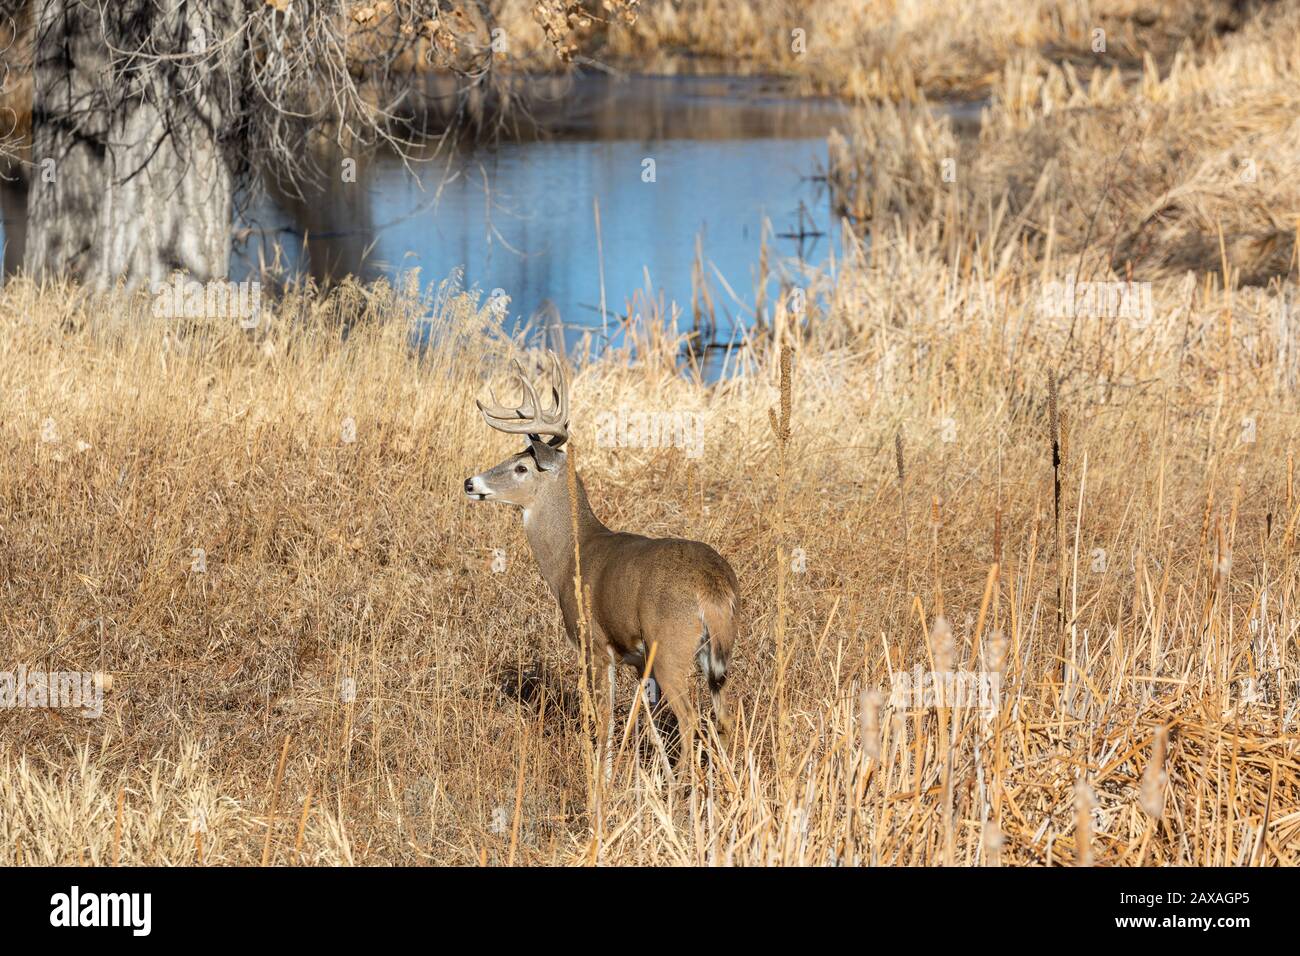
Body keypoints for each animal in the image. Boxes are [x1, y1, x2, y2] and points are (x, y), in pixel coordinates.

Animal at [464, 351, 739, 766]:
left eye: (521, 467)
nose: (470, 483)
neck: (569, 555)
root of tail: (713, 586)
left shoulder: (594, 642)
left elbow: (606, 721)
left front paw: (602, 773)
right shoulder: (636, 659)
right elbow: (647, 722)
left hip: (670, 645)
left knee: (691, 718)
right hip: (717, 650)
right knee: (723, 716)